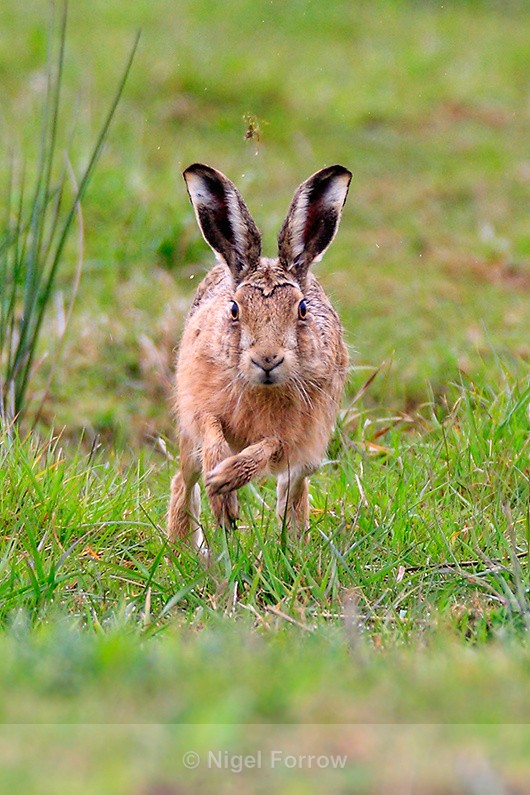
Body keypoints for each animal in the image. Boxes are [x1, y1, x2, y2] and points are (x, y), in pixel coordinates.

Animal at [167, 162, 351, 553]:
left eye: (302, 309)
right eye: (234, 309)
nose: (267, 359)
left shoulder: (296, 436)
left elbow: (269, 447)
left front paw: (227, 479)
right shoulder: (200, 407)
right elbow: (212, 430)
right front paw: (222, 494)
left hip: (308, 457)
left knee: (293, 489)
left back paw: (292, 541)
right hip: (186, 443)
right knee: (184, 480)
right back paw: (183, 546)